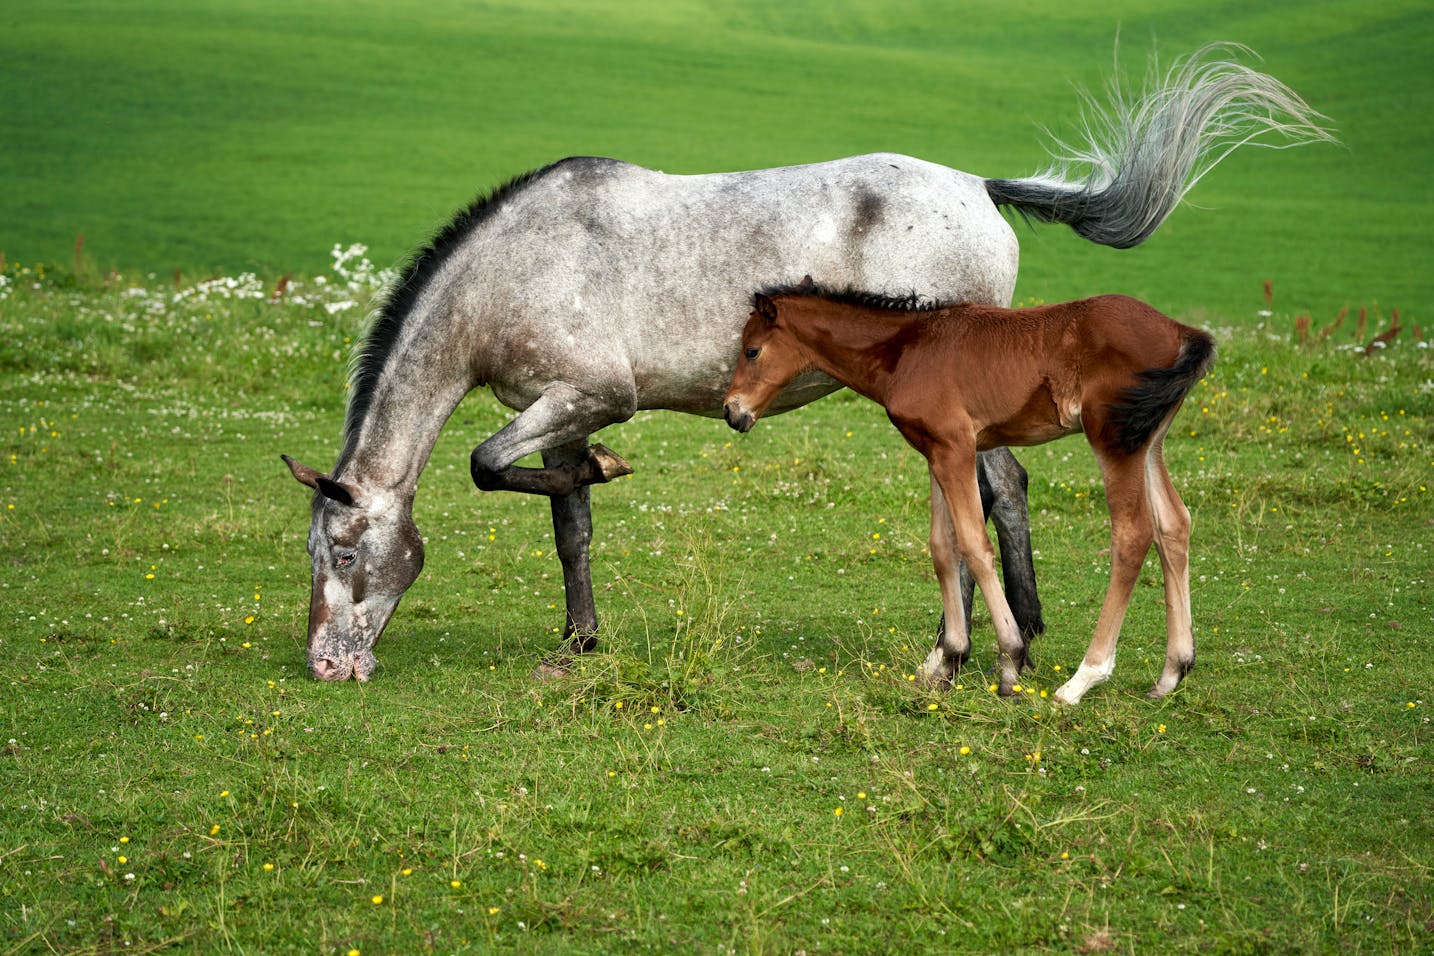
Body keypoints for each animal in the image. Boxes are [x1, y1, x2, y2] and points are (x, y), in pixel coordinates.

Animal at [722, 285, 1214, 704]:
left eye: (752, 350)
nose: (732, 411)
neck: (906, 350)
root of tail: (1182, 332)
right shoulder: (936, 450)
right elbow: (944, 548)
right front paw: (946, 661)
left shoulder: (956, 446)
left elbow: (975, 546)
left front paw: (1009, 662)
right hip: (1149, 440)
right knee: (1174, 523)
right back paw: (1171, 673)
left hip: (1113, 438)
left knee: (1133, 534)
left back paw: (1082, 679)